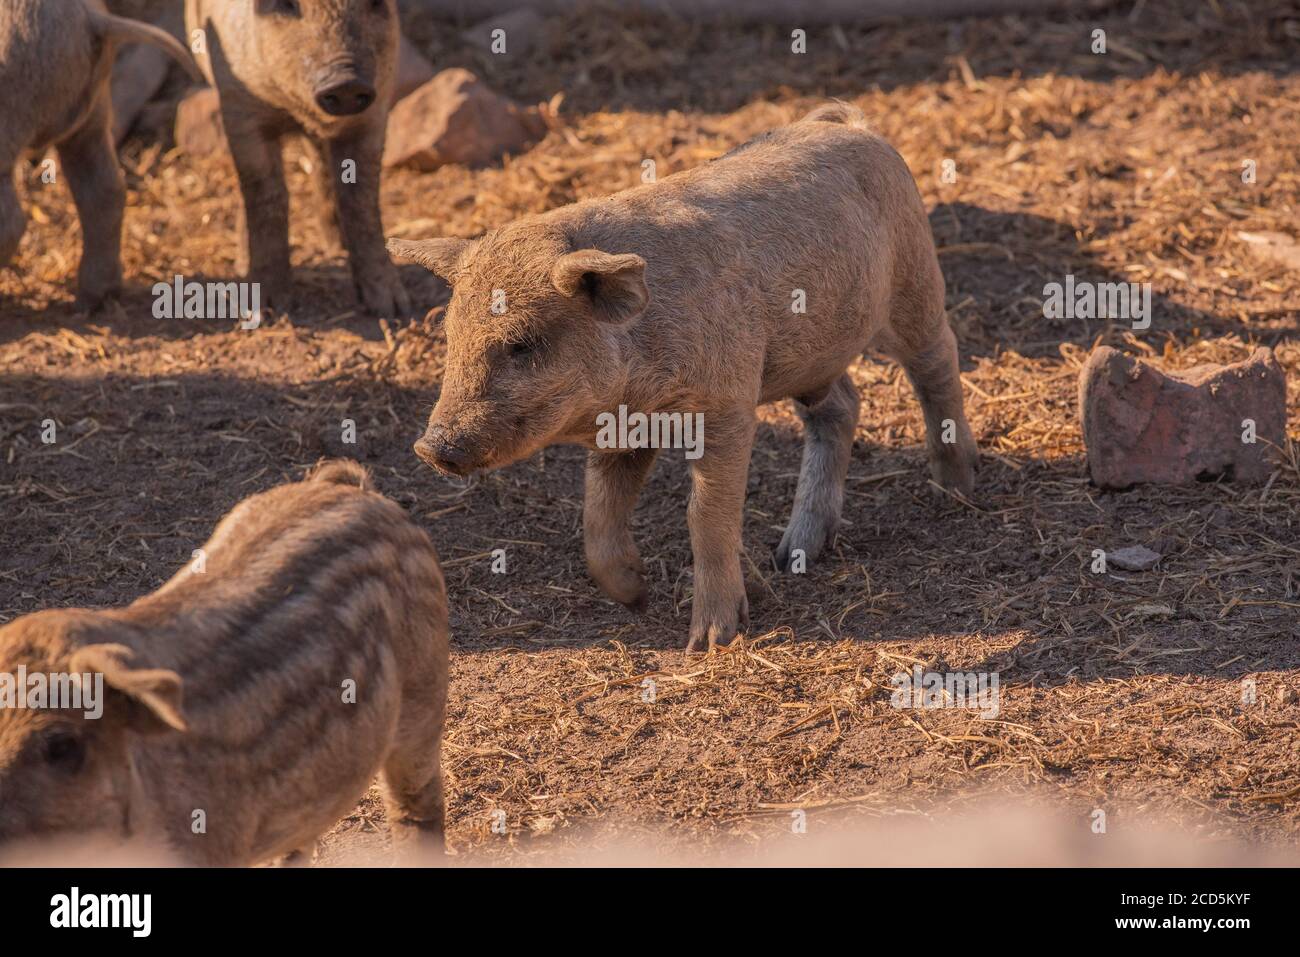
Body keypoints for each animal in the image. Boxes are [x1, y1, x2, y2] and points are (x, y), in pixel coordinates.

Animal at [185, 0, 411, 316]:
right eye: (286, 5)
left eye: (376, 3)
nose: (346, 83)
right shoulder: (239, 107)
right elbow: (266, 195)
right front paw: (268, 308)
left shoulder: (374, 112)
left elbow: (361, 200)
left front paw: (392, 309)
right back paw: (243, 264)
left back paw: (337, 247)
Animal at [388, 104, 979, 652]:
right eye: (449, 337)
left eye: (522, 344)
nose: (429, 447)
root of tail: (850, 124)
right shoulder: (626, 428)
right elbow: (597, 514)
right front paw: (636, 596)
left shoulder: (729, 402)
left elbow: (704, 512)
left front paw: (710, 641)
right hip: (810, 355)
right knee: (841, 407)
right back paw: (792, 554)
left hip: (914, 279)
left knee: (937, 361)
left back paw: (956, 487)